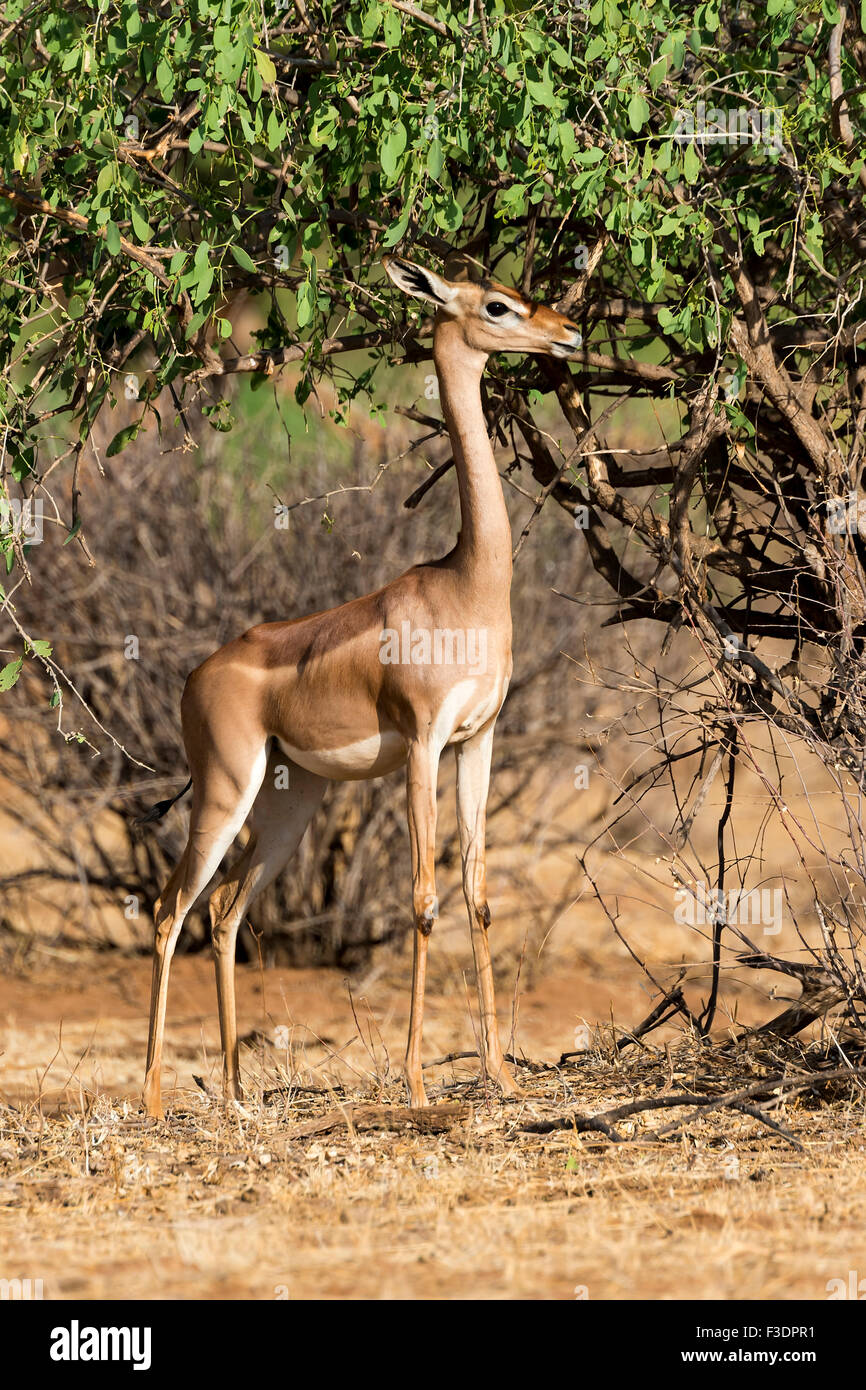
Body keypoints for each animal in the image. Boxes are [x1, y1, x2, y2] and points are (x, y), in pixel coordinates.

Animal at [141, 254, 581, 1118]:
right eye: (497, 306)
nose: (568, 332)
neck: (468, 586)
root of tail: (198, 675)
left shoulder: (479, 740)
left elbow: (477, 897)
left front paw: (502, 1075)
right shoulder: (421, 742)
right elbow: (422, 900)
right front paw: (415, 1081)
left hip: (291, 799)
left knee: (225, 910)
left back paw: (236, 1092)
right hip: (225, 790)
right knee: (171, 911)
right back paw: (150, 1098)